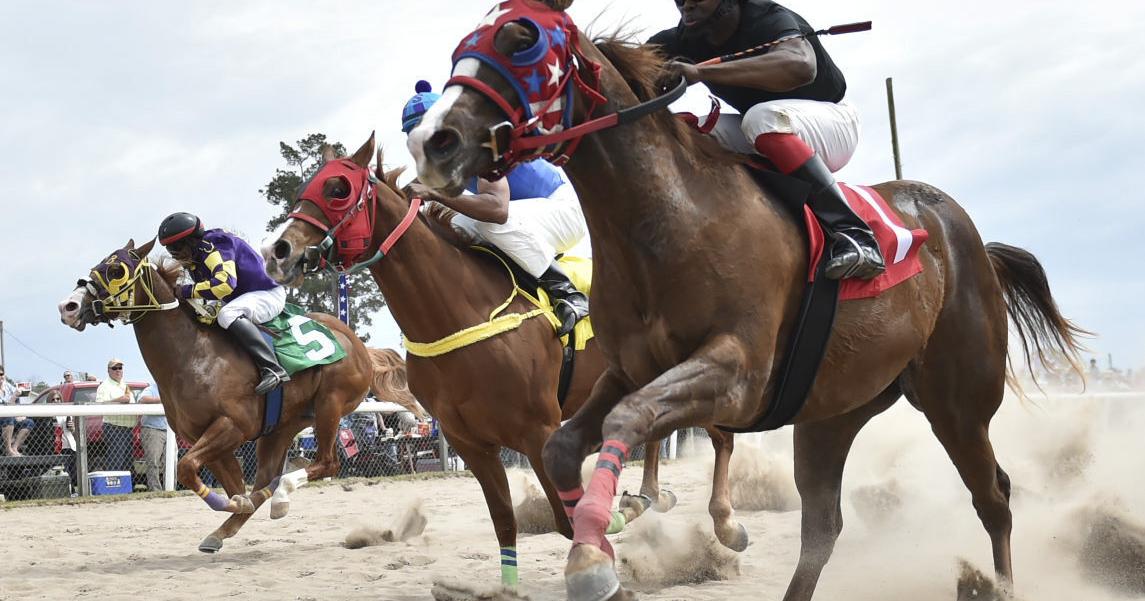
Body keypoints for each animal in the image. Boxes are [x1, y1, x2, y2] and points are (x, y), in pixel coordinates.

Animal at [57, 238, 374, 553]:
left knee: (327, 462)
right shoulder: (205, 437)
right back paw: (255, 507)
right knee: (267, 477)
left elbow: (187, 468)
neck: (192, 355)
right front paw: (235, 509)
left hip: (329, 405)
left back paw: (281, 496)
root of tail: (357, 344)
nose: (68, 306)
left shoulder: (230, 426)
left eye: (115, 270)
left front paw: (232, 504)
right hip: (283, 426)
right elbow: (233, 488)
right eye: (97, 266)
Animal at [262, 140, 741, 588]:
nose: (277, 250)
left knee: (721, 437)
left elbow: (568, 519)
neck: (460, 313)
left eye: (337, 189)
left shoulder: (539, 430)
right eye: (306, 186)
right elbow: (505, 520)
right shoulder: (471, 442)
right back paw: (646, 496)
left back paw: (724, 522)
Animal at [406, 2, 1088, 599]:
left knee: (993, 496)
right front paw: (601, 541)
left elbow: (629, 419)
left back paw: (999, 584)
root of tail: (961, 232)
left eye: (521, 38)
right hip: (833, 411)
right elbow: (564, 446)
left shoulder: (738, 373)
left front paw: (593, 561)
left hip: (957, 401)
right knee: (823, 527)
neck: (669, 217)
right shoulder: (628, 370)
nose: (433, 142)